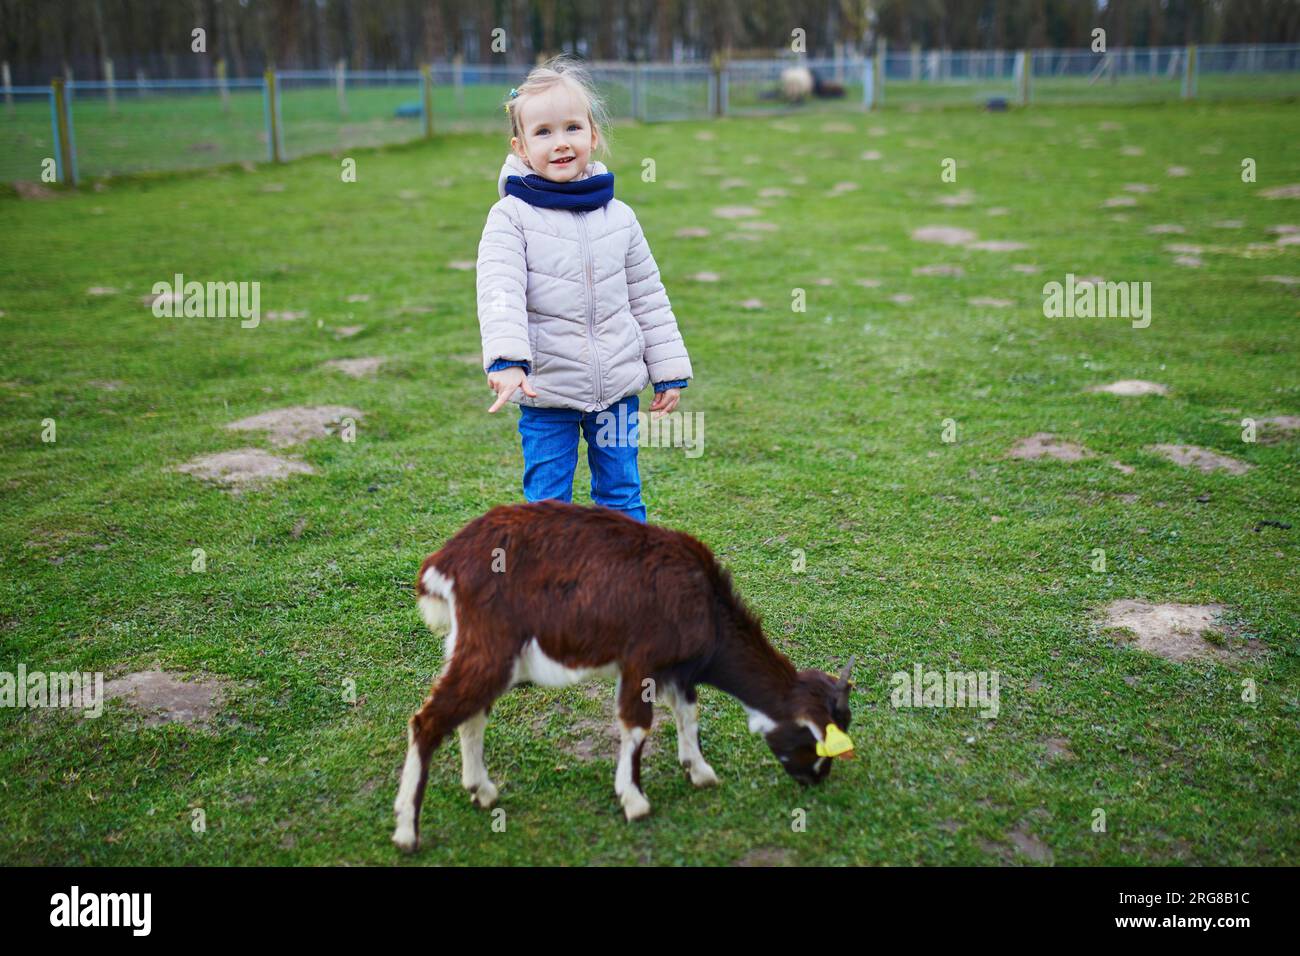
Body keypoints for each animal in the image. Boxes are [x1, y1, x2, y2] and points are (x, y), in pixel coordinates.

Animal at [392, 500, 855, 852]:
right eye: (817, 742)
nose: (814, 782)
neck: (708, 605)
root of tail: (443, 562)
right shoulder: (641, 661)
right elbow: (637, 726)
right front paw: (634, 800)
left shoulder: (678, 670)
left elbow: (688, 713)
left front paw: (699, 770)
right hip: (490, 647)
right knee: (428, 721)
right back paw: (408, 832)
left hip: (478, 650)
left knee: (471, 716)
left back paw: (482, 791)